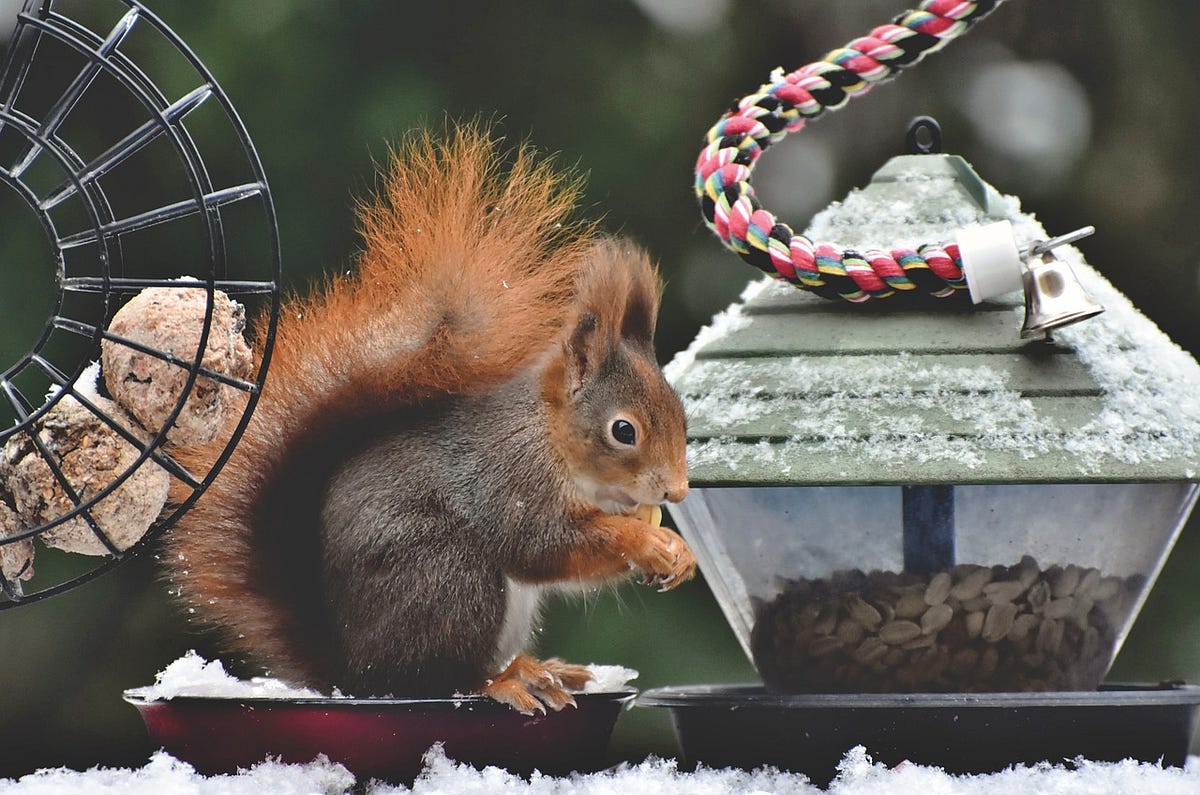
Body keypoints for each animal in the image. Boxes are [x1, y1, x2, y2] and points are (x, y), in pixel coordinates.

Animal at [164, 124, 696, 713]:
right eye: (623, 431)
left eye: (683, 417)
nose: (676, 491)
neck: (550, 437)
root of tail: (355, 673)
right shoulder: (510, 481)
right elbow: (542, 544)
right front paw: (645, 542)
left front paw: (681, 556)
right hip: (449, 580)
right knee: (439, 679)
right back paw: (504, 681)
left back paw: (544, 669)